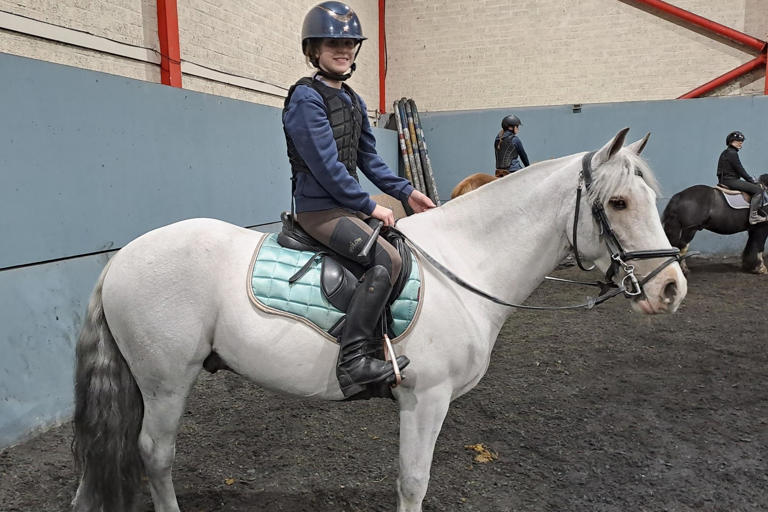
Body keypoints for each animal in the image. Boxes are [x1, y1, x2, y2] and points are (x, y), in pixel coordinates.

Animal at [71, 128, 687, 512]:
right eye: (619, 204)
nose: (672, 289)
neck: (464, 262)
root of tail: (122, 258)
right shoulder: (426, 397)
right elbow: (413, 482)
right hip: (167, 380)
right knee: (155, 454)